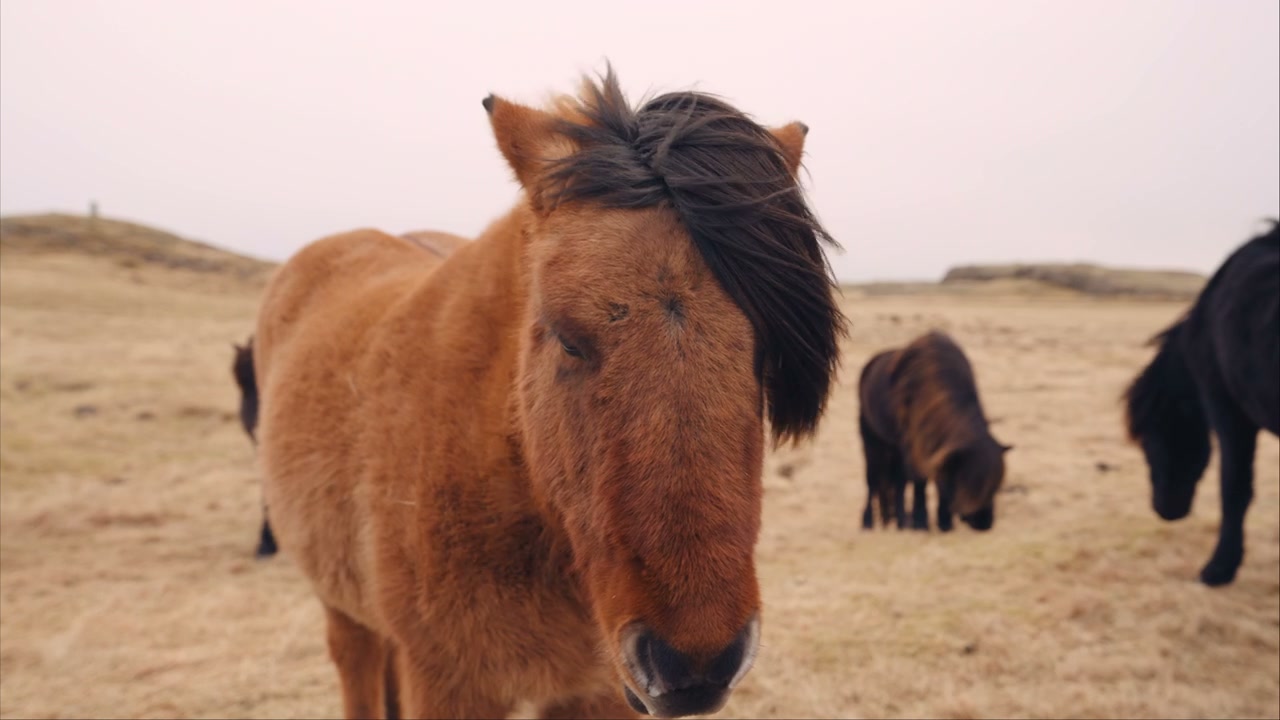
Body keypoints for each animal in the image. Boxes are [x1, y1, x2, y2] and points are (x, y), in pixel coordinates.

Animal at [248, 67, 844, 719]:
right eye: (566, 338)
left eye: (769, 350)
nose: (695, 665)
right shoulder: (448, 684)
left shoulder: (593, 691)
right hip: (342, 611)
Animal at [858, 331, 1011, 532]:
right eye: (969, 482)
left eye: (995, 485)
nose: (984, 523)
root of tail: (870, 365)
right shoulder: (915, 449)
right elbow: (919, 482)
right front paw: (920, 522)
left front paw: (944, 522)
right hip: (872, 442)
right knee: (873, 480)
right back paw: (870, 521)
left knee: (895, 482)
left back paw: (895, 519)